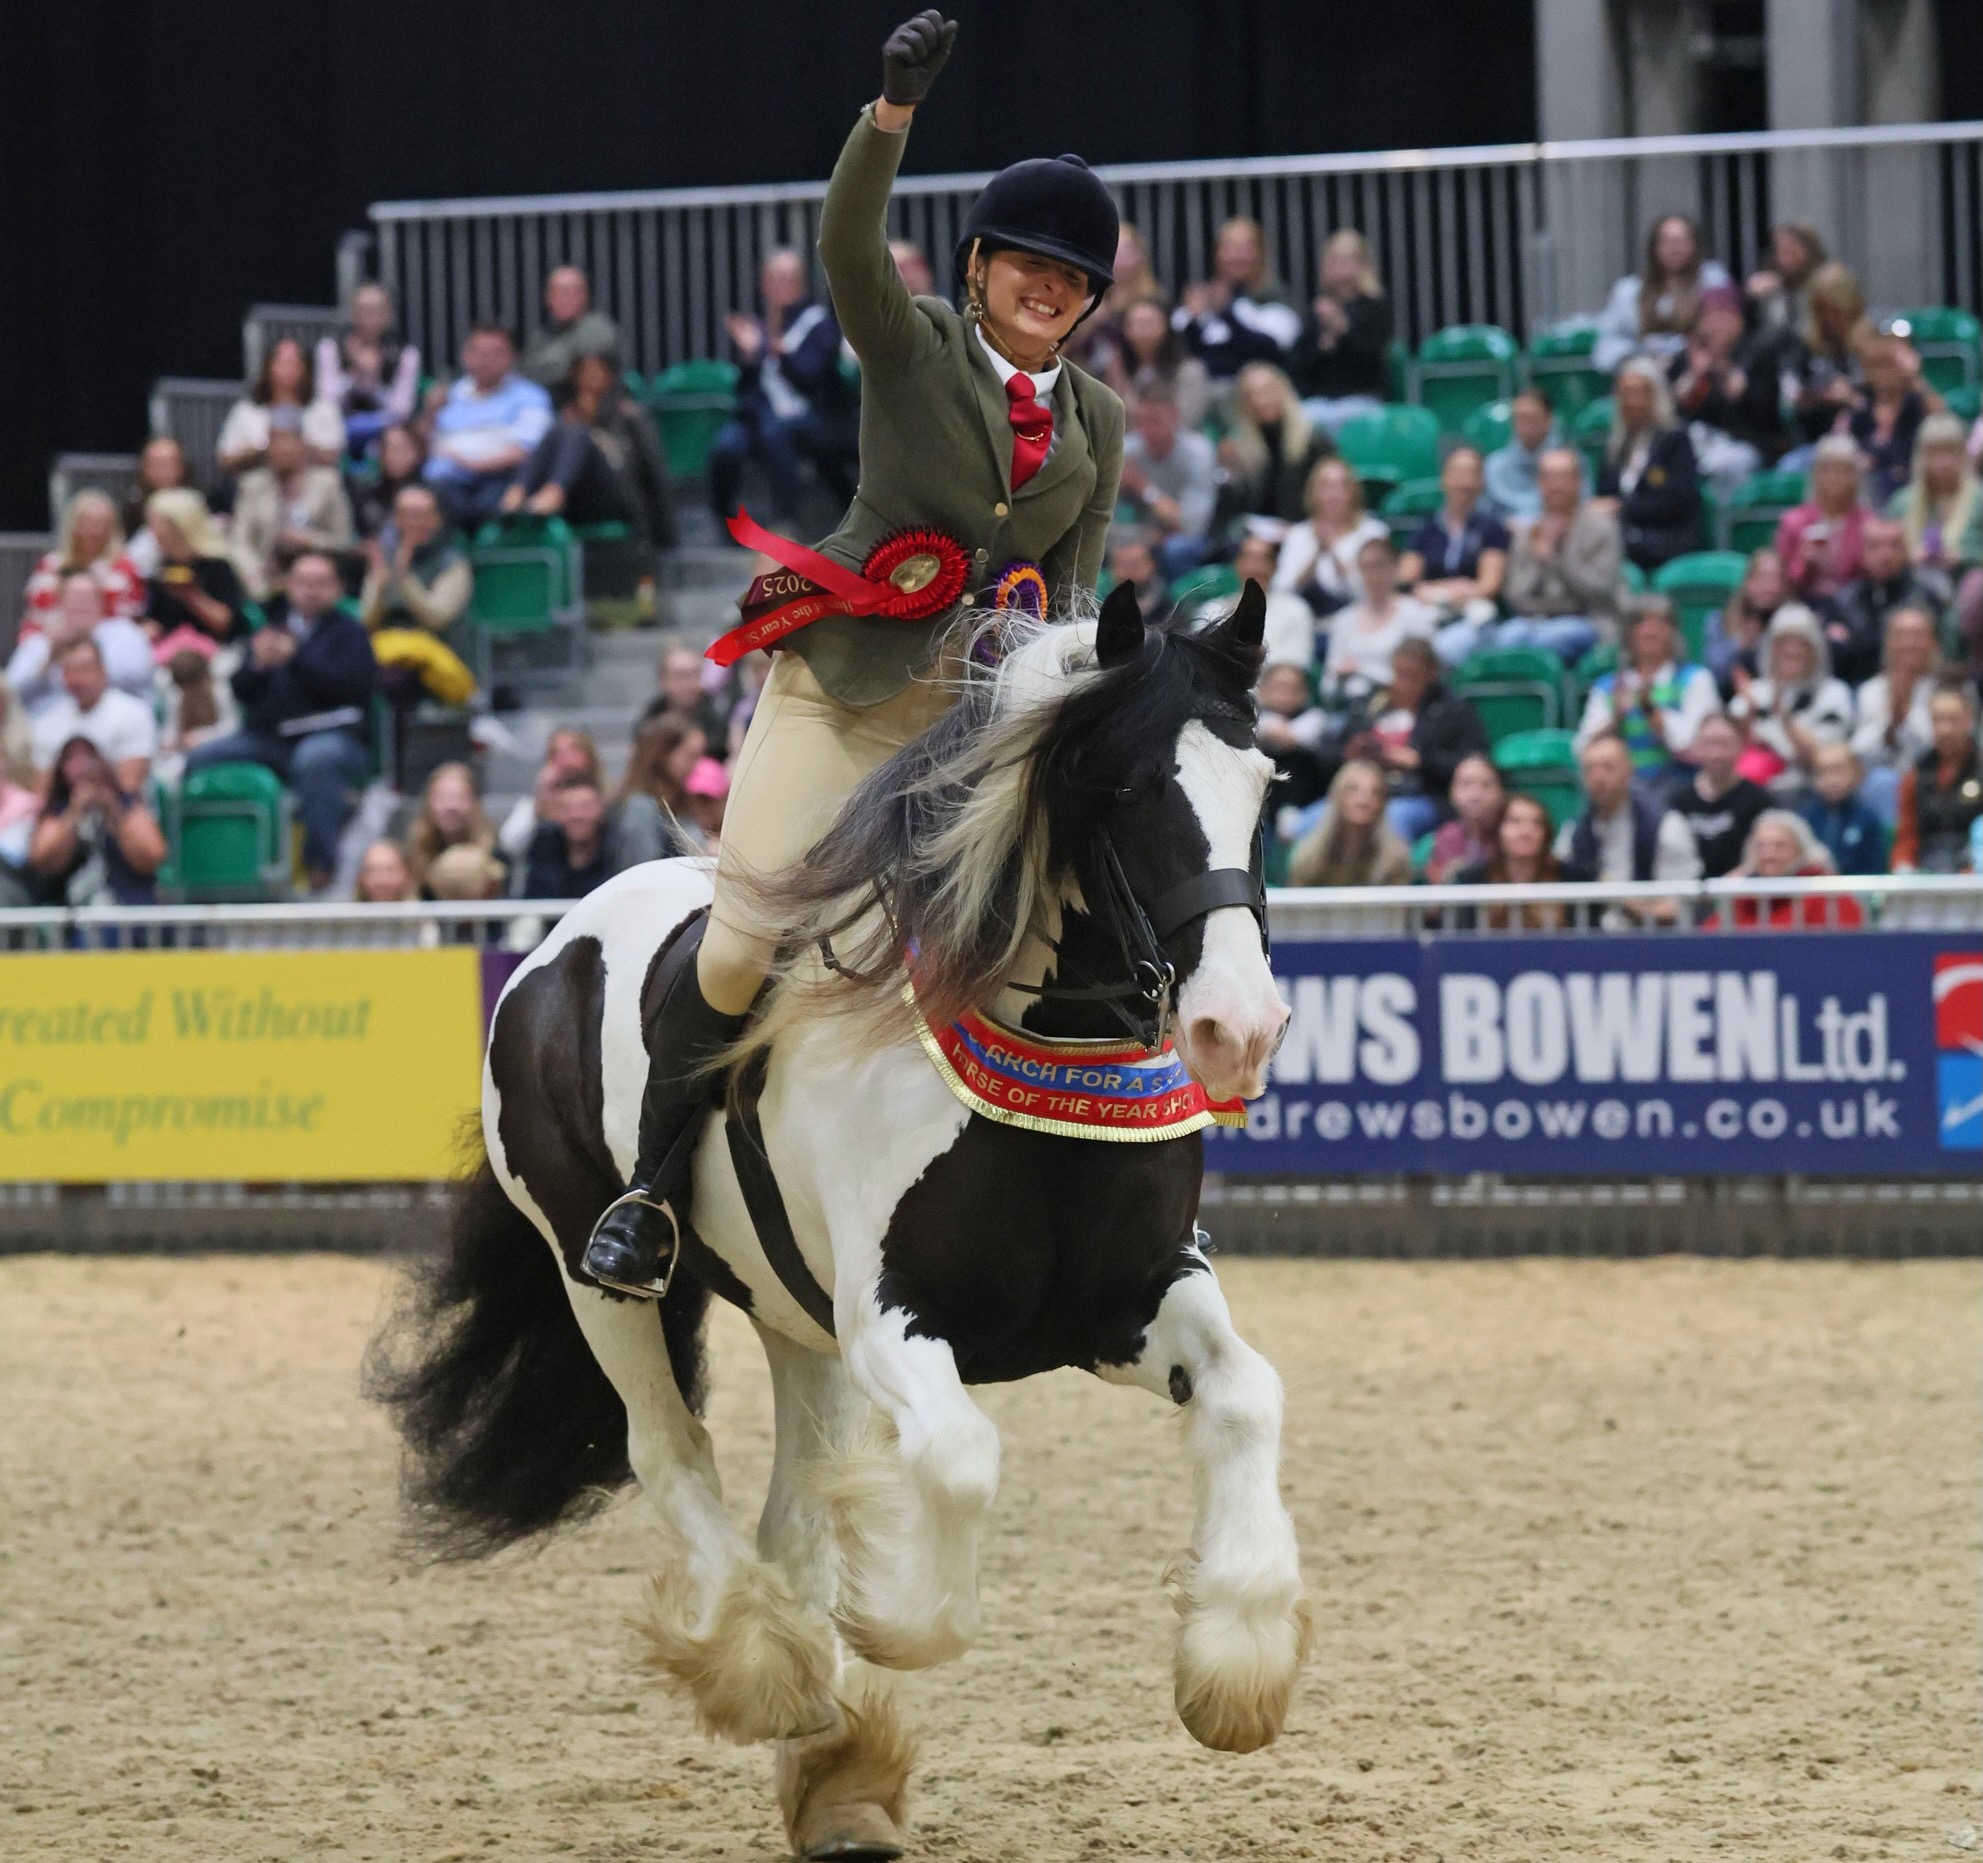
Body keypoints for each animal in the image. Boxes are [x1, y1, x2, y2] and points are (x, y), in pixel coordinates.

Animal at [368, 582, 1310, 1860]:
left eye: (1265, 784)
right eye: (1123, 788)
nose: (1238, 1031)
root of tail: (557, 944)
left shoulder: (1128, 1304)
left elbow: (1247, 1394)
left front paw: (1237, 1663)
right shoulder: (893, 1320)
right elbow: (957, 1460)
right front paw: (890, 1615)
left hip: (795, 1319)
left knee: (792, 1498)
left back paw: (834, 1767)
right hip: (596, 1272)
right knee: (671, 1449)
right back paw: (777, 1676)